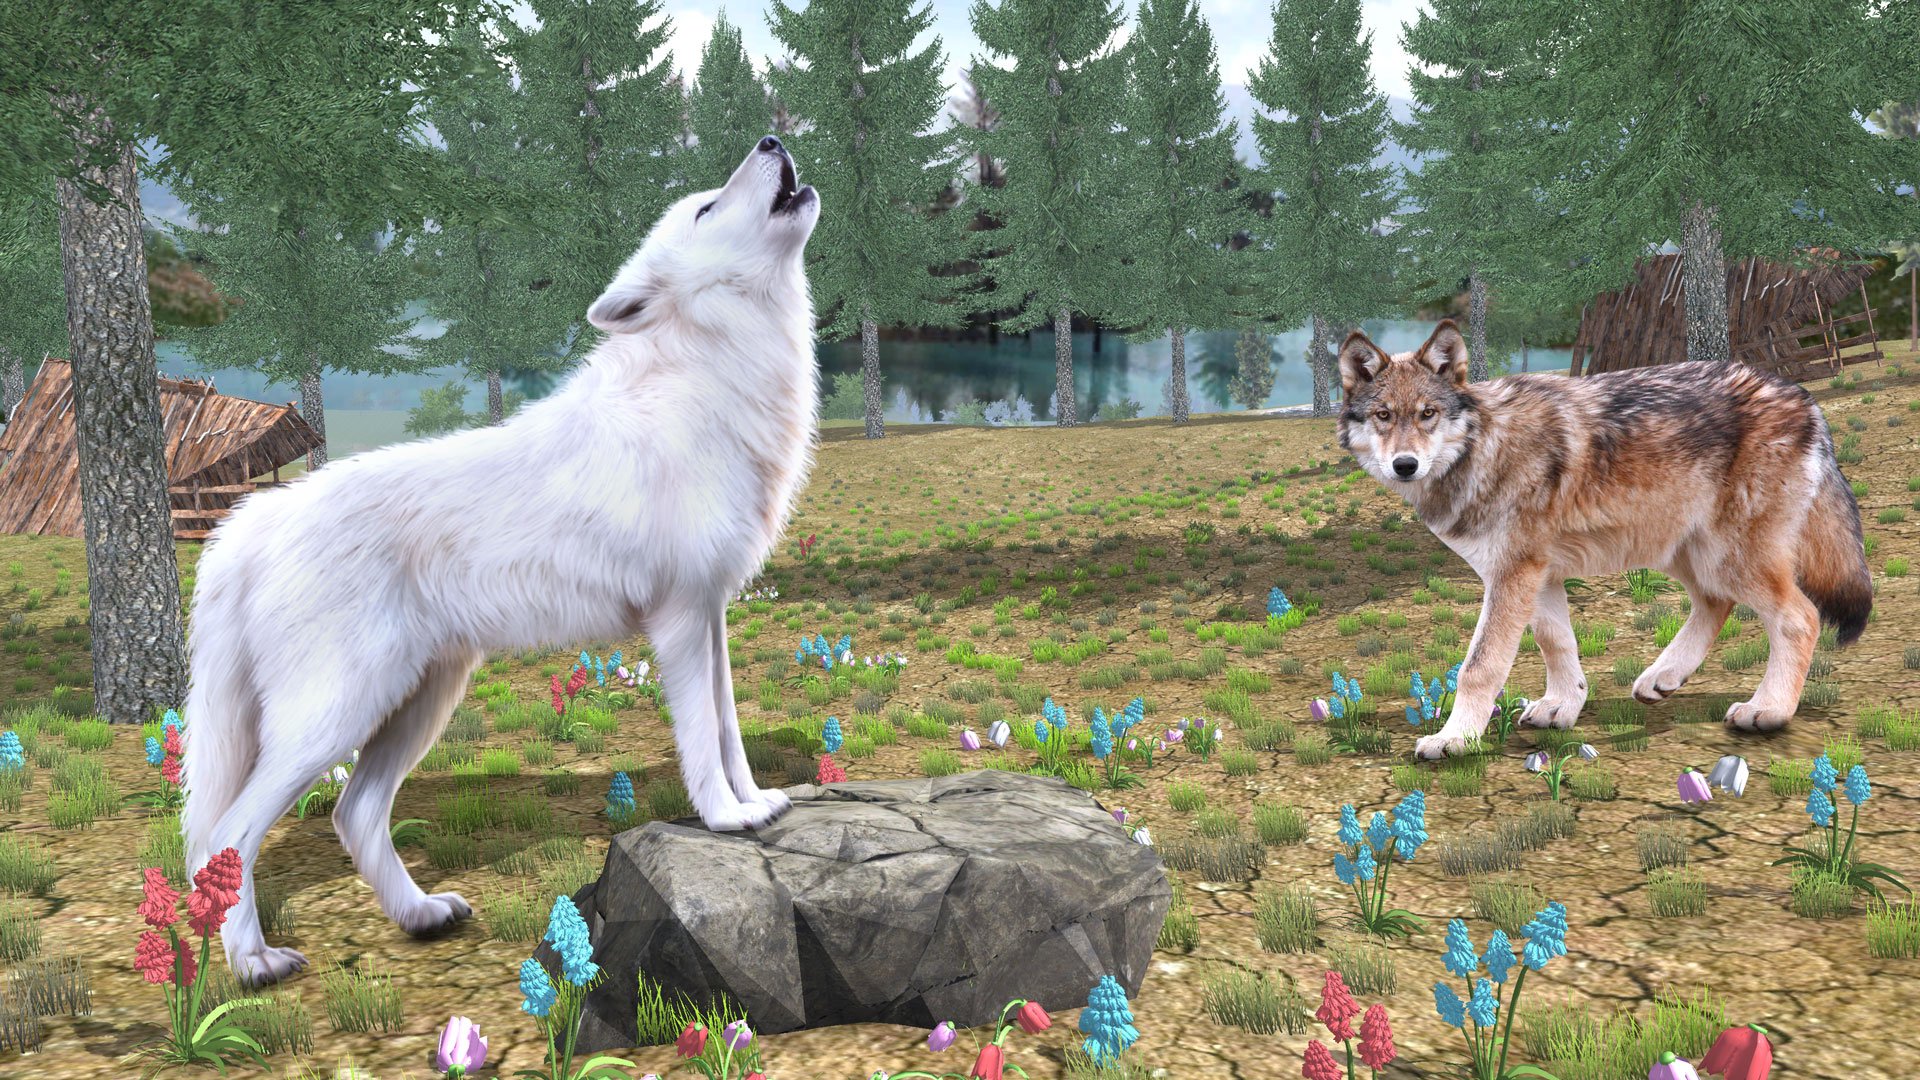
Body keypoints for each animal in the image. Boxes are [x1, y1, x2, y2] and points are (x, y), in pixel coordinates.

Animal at [180, 137, 820, 985]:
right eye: (708, 207)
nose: (771, 141)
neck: (704, 380)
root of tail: (256, 519)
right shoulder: (681, 617)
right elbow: (701, 738)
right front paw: (722, 818)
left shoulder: (710, 614)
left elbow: (730, 728)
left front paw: (756, 803)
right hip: (336, 716)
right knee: (230, 830)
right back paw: (254, 963)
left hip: (420, 700)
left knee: (353, 814)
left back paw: (420, 915)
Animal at [1336, 320, 1872, 761]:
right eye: (1383, 415)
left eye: (1427, 413)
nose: (1405, 465)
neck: (1484, 447)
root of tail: (1802, 397)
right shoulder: (1538, 575)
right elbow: (1557, 644)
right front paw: (1561, 707)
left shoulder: (1512, 576)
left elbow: (1479, 667)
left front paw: (1455, 740)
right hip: (1682, 552)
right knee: (1714, 604)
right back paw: (1662, 678)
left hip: (1725, 558)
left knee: (1799, 618)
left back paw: (1769, 710)